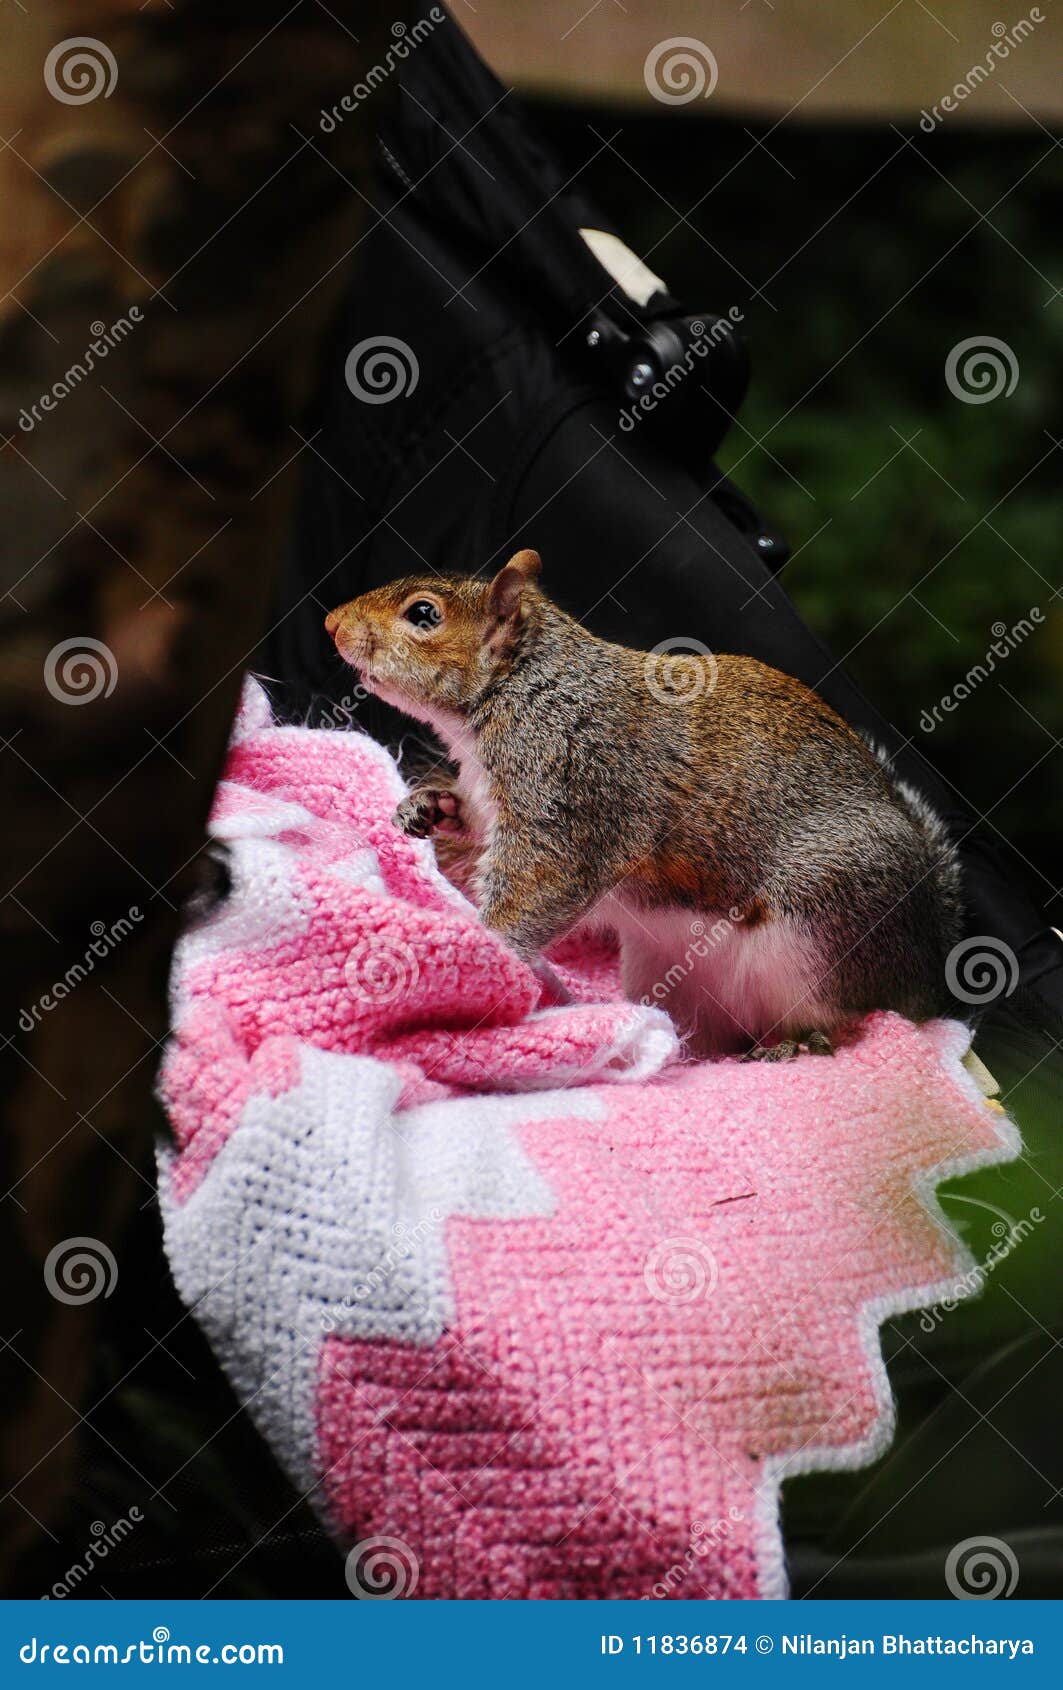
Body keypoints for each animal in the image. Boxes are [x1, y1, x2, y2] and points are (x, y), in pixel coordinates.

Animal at [325, 549, 963, 1059]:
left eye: (423, 614)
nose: (332, 623)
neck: (524, 689)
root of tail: (925, 965)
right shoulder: (497, 799)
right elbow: (475, 821)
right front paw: (426, 806)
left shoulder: (574, 790)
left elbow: (541, 887)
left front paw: (486, 949)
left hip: (826, 919)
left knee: (854, 1019)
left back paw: (802, 1044)